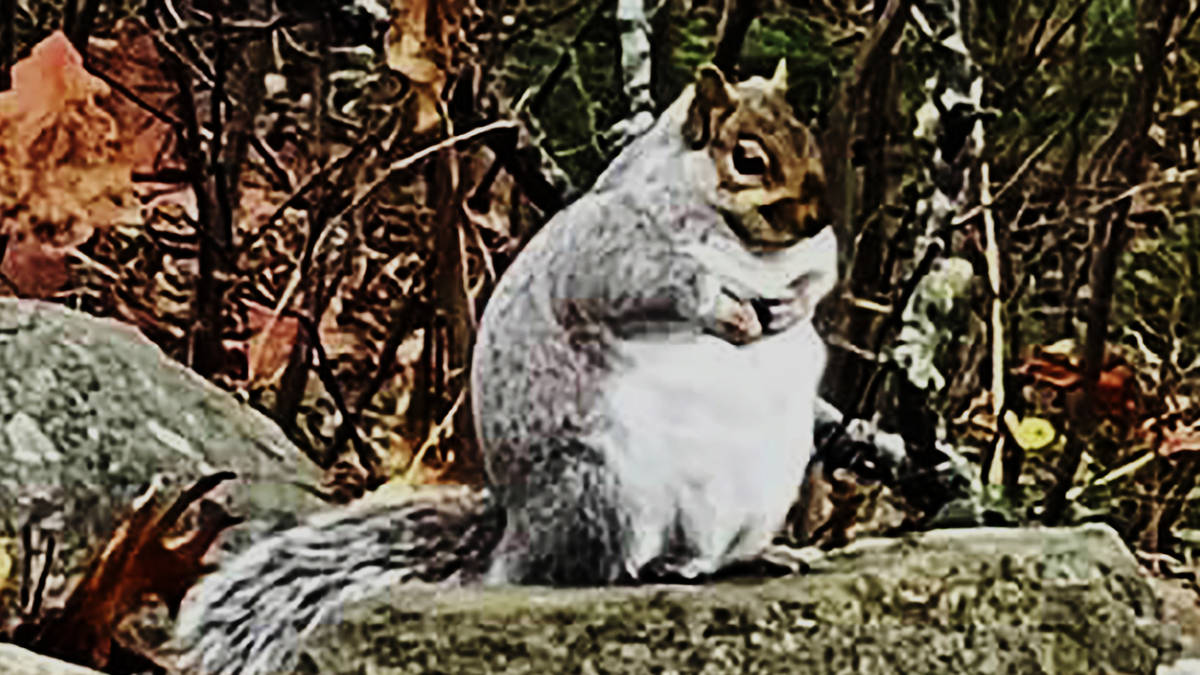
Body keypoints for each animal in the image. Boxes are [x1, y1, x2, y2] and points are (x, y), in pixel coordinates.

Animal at [173, 60, 839, 674]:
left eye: (809, 135)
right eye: (747, 158)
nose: (816, 217)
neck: (752, 248)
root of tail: (514, 543)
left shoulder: (813, 257)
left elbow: (820, 277)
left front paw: (793, 305)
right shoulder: (612, 249)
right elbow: (656, 285)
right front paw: (732, 311)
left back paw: (763, 556)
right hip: (603, 489)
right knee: (591, 569)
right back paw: (661, 566)